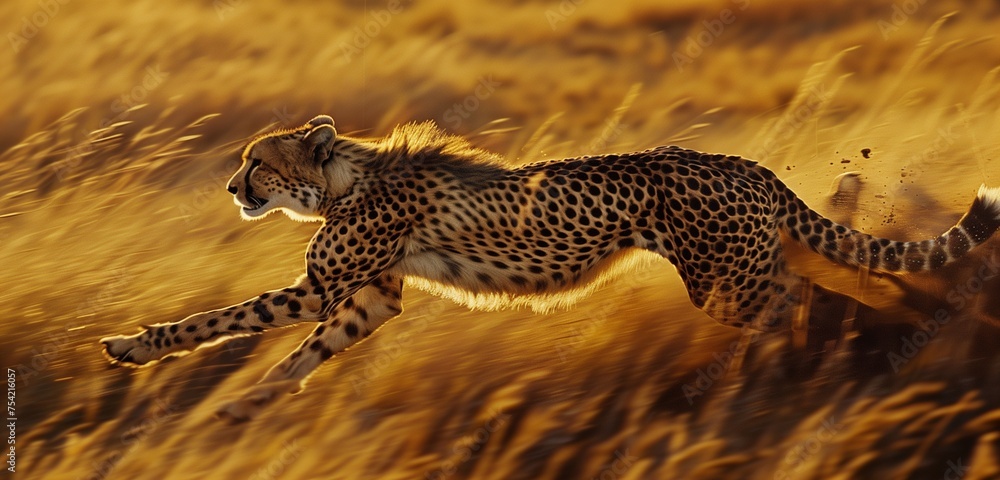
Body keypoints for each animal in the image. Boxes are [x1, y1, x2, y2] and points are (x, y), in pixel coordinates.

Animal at [100, 114, 1000, 422]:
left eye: (257, 161)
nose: (231, 188)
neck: (343, 177)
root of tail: (740, 163)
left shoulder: (326, 286)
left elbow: (223, 318)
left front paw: (137, 348)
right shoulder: (367, 301)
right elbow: (304, 355)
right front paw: (245, 404)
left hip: (722, 279)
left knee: (793, 293)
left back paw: (821, 353)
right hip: (744, 263)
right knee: (829, 273)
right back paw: (875, 328)